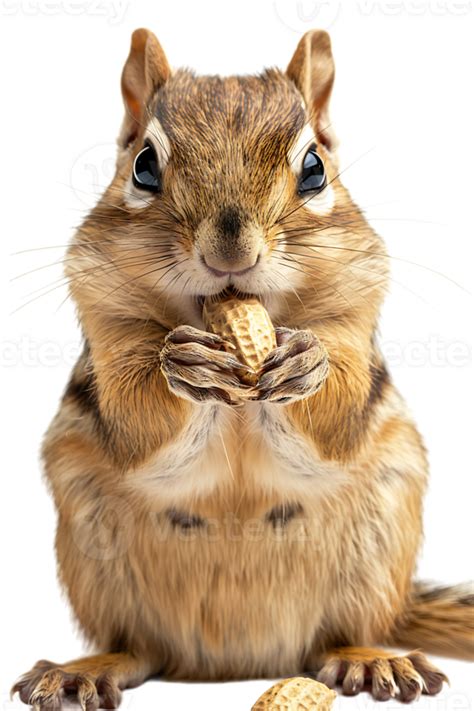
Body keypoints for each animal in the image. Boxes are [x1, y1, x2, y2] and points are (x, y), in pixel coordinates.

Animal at [12, 27, 473, 709]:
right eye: (143, 166)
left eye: (314, 169)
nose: (231, 252)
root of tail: (234, 661)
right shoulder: (106, 326)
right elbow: (134, 413)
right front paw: (183, 364)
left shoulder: (355, 314)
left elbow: (338, 406)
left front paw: (307, 363)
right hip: (95, 563)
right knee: (138, 648)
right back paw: (87, 669)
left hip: (377, 547)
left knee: (337, 638)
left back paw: (369, 660)